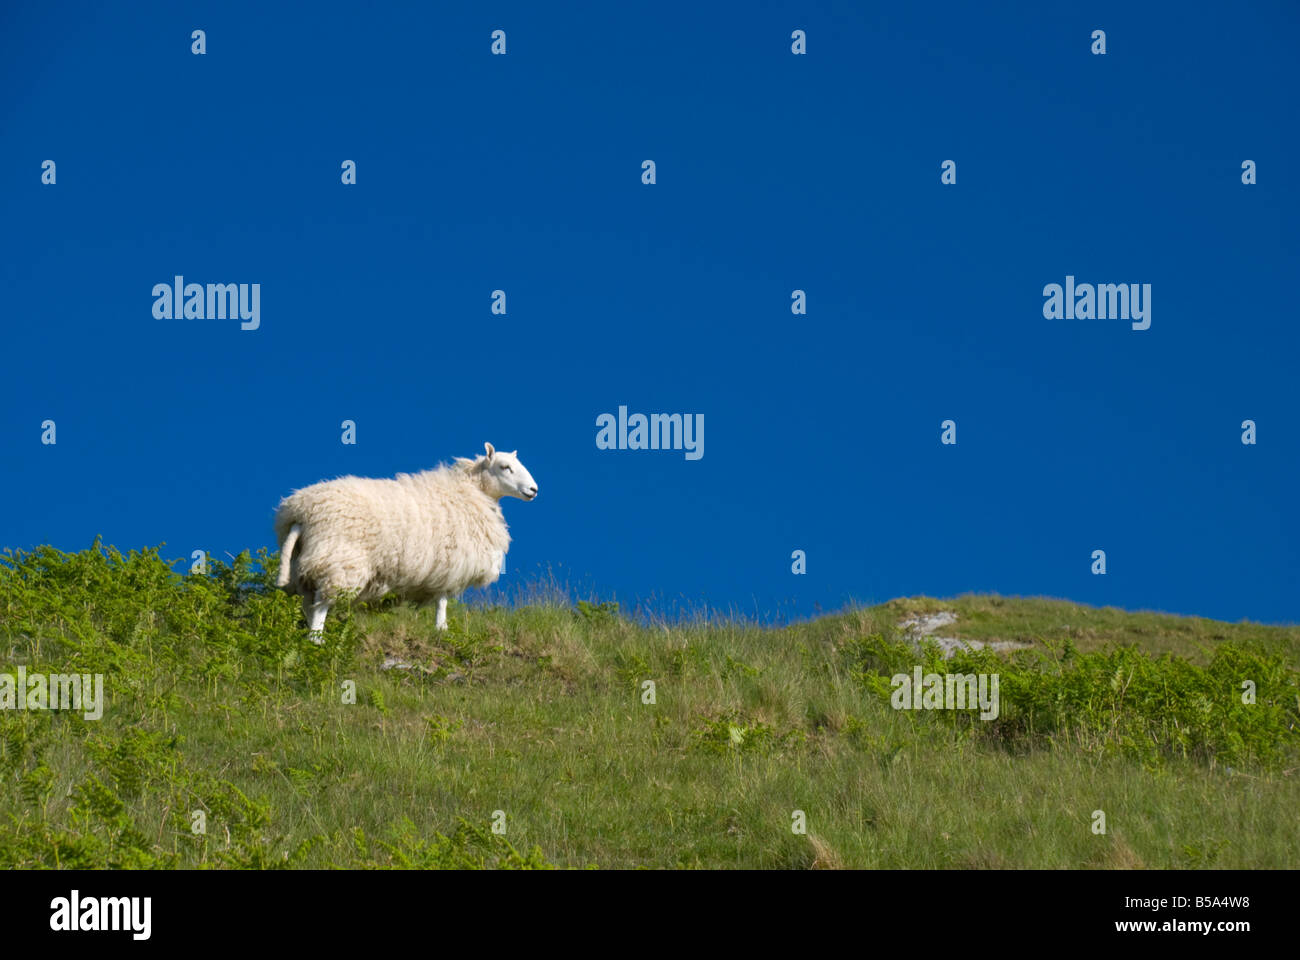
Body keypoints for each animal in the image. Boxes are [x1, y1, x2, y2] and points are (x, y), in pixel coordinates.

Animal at [273, 442, 538, 641]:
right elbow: (442, 601)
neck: (473, 491)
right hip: (339, 561)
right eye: (505, 467)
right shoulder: (451, 562)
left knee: (309, 604)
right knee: (321, 606)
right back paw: (317, 640)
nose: (534, 489)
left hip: (306, 564)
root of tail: (301, 513)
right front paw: (442, 629)